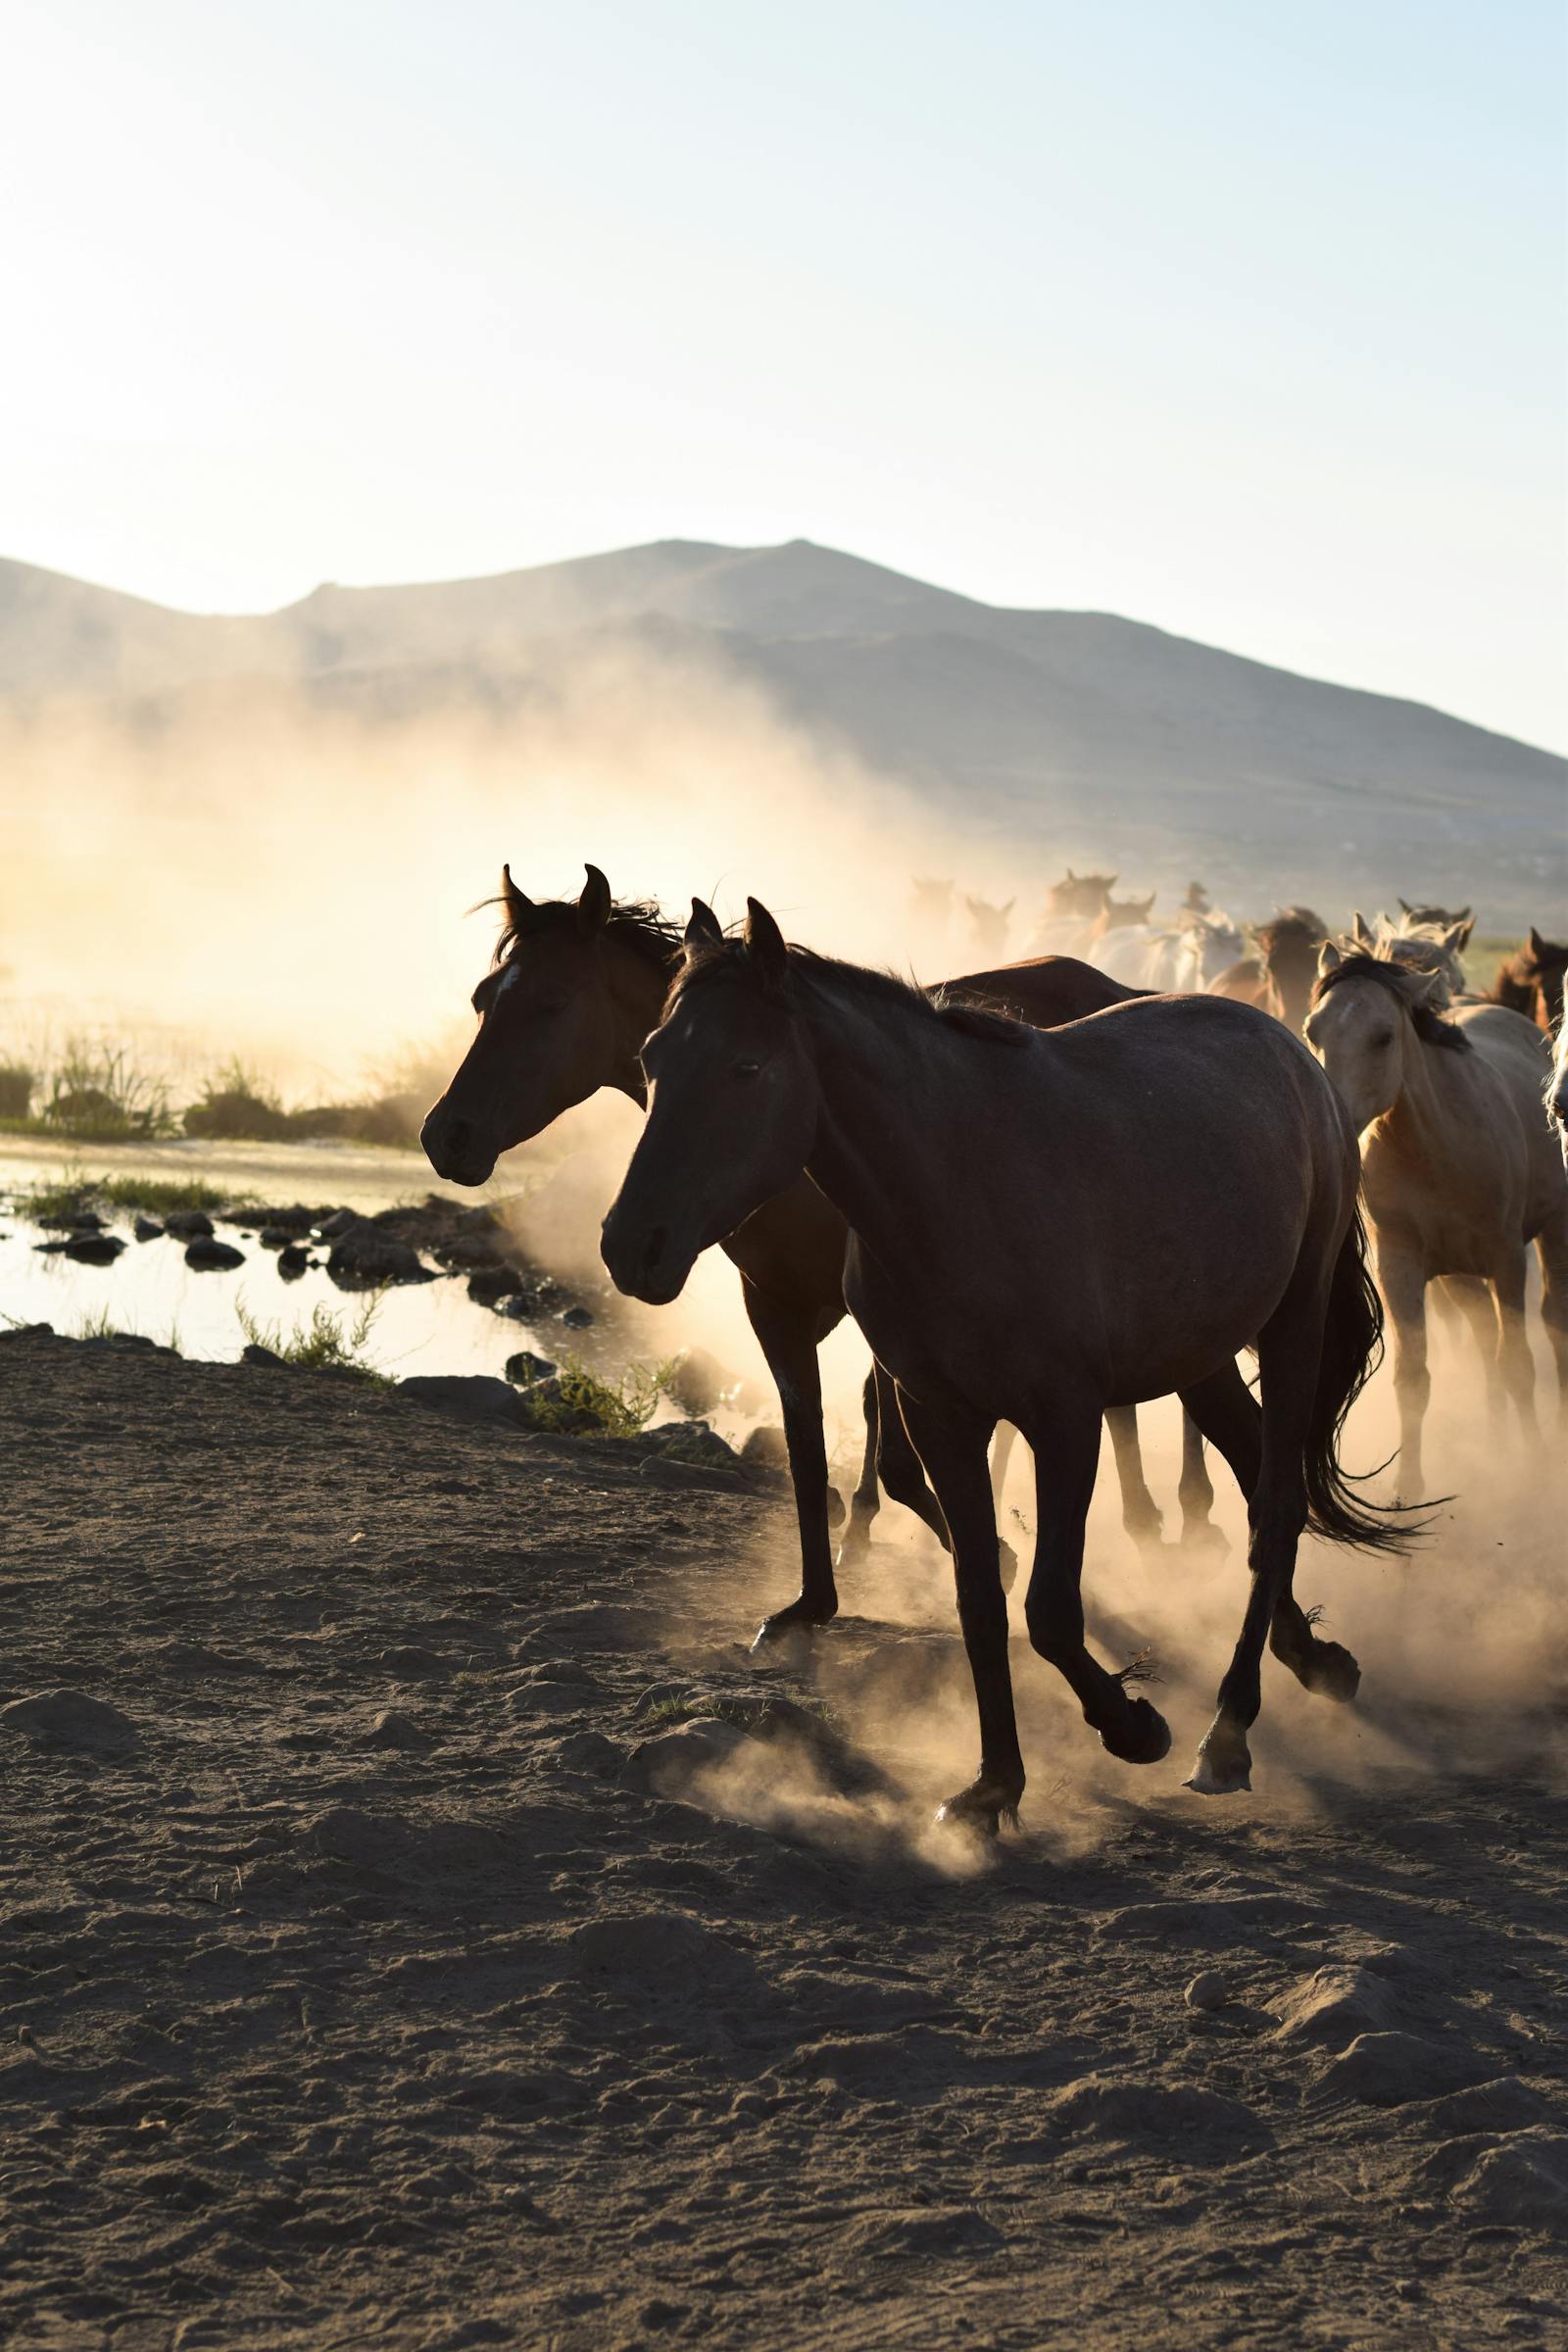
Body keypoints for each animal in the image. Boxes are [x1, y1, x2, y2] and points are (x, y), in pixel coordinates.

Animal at [419, 866, 1224, 1651]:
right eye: (484, 1000)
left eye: (552, 1003)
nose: (447, 1135)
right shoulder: (774, 1300)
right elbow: (807, 1443)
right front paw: (813, 1600)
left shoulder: (891, 1318)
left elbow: (895, 1458)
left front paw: (989, 1549)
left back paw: (1176, 1516)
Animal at [1306, 945, 1568, 1499]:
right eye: (1313, 1029)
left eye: (1384, 1035)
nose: (1331, 1115)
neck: (1435, 1148)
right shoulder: (1400, 1265)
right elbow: (1414, 1378)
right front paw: (1408, 1486)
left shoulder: (1507, 1258)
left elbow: (1518, 1363)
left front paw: (1535, 1465)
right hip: (1459, 1277)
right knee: (1484, 1340)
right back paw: (1495, 1439)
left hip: (1552, 1233)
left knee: (1553, 1323)